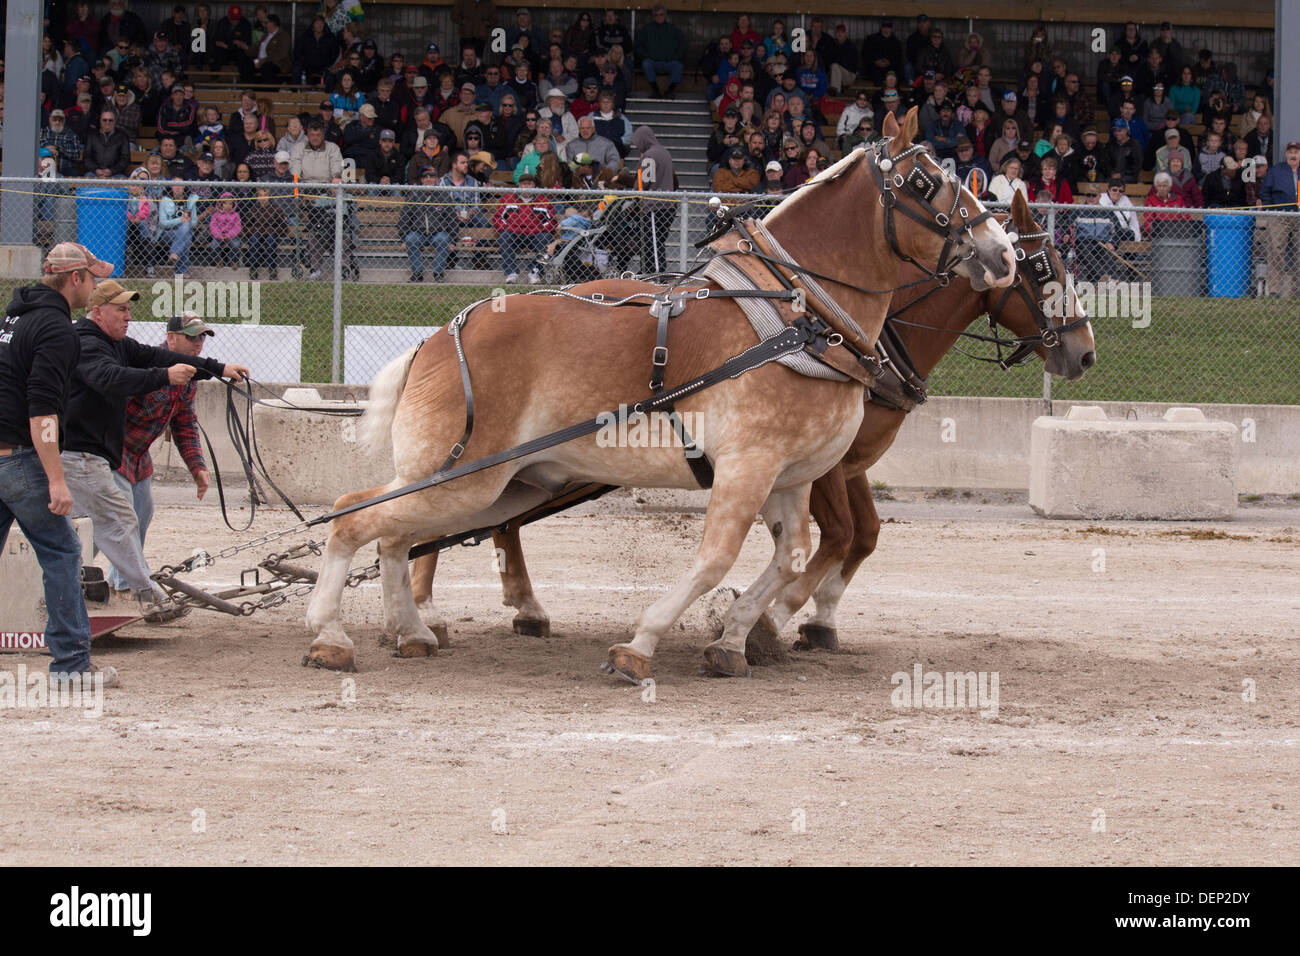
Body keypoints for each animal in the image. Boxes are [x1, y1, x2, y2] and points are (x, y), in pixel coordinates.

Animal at [304, 108, 1015, 677]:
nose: (1002, 252)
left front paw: (733, 639)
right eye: (924, 182)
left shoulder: (790, 477)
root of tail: (442, 334)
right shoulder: (746, 467)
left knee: (394, 538)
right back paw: (332, 634)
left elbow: (790, 559)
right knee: (353, 516)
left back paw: (412, 631)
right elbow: (716, 558)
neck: (798, 313)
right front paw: (642, 643)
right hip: (463, 479)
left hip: (501, 485)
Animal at [407, 192, 1094, 656]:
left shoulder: (842, 465)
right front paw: (767, 620)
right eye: (1041, 270)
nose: (1084, 353)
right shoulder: (818, 470)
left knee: (494, 517)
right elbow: (839, 536)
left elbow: (863, 536)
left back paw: (510, 605)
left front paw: (813, 619)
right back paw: (429, 609)